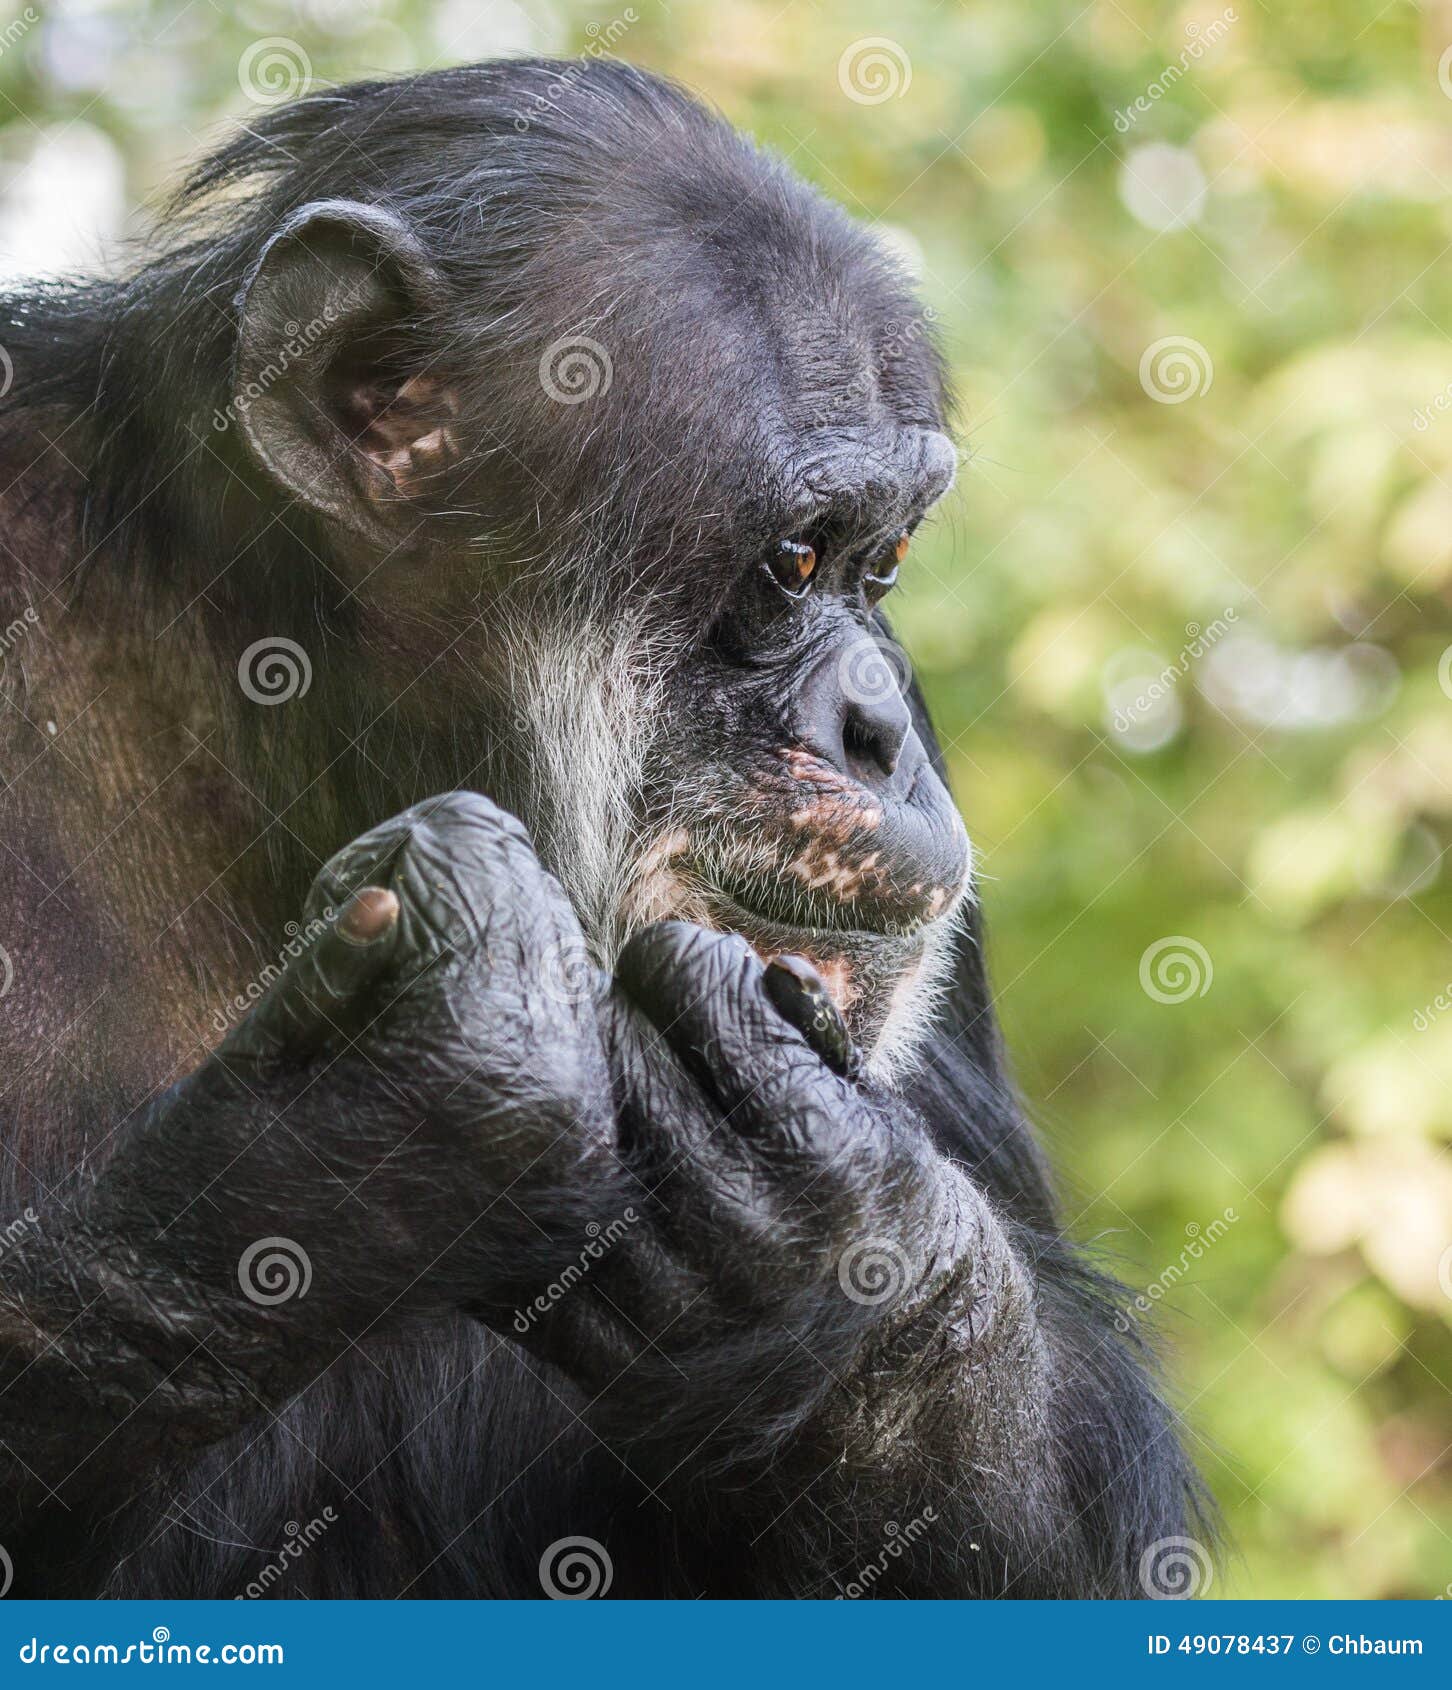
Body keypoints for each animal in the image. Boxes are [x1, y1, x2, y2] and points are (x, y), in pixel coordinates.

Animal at [0, 58, 1203, 1598]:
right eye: (794, 560)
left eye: (883, 563)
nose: (874, 724)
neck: (268, 718)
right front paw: (383, 1110)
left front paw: (850, 1244)